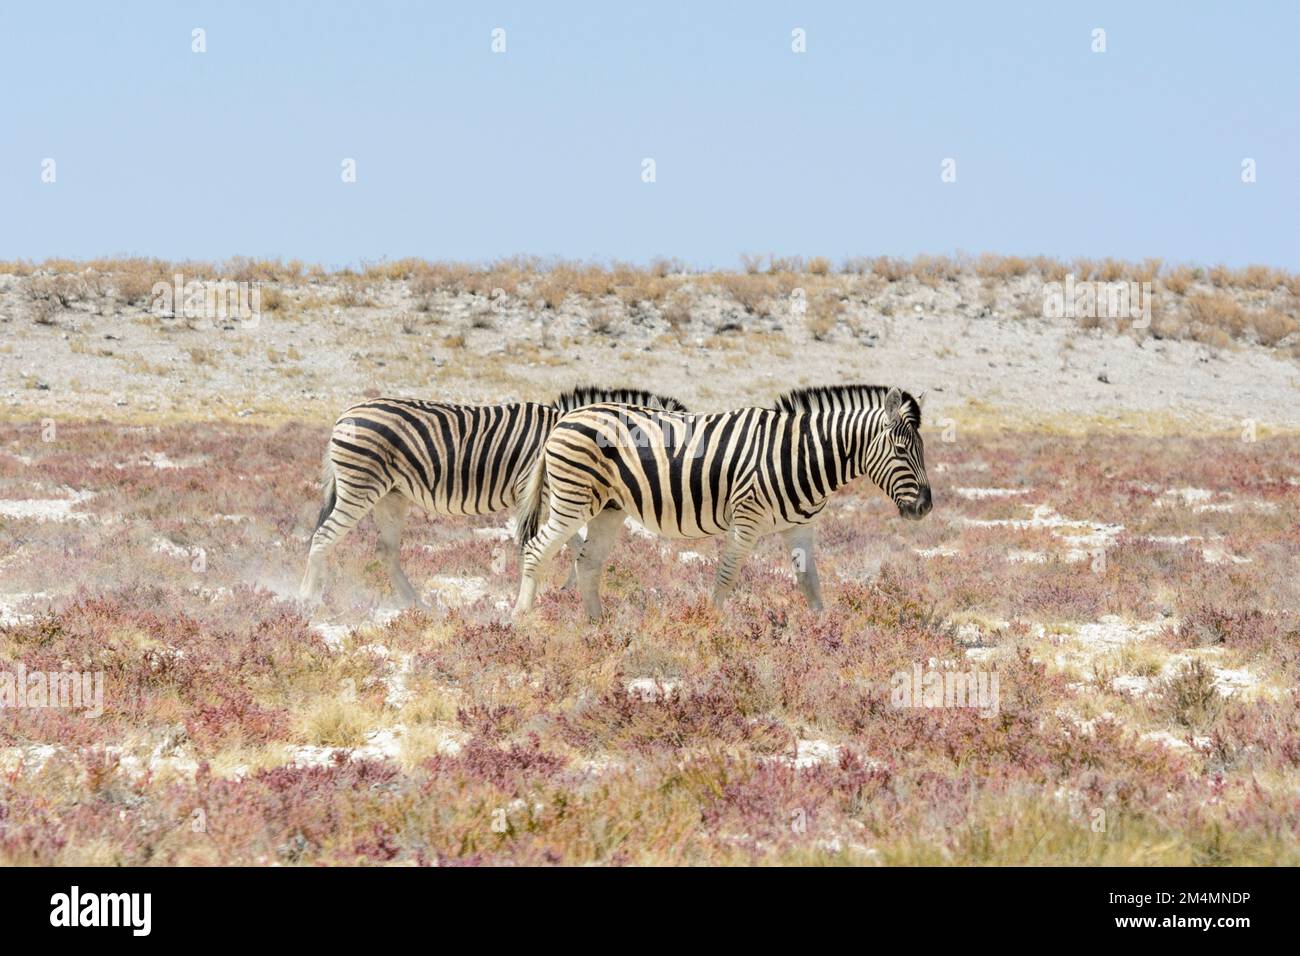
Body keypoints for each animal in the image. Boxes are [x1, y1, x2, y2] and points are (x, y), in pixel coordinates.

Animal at [299, 386, 689, 606]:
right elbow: (545, 544)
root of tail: (345, 414)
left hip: (390, 496)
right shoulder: (538, 494)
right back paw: (309, 599)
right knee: (323, 537)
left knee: (385, 550)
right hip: (360, 488)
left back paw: (415, 604)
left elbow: (573, 545)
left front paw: (567, 587)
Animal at [512, 384, 930, 620]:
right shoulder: (747, 518)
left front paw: (824, 633)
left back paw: (597, 627)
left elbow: (810, 581)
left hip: (608, 509)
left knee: (588, 563)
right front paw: (714, 625)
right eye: (900, 450)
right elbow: (727, 574)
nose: (925, 508)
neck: (799, 453)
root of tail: (566, 416)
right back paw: (521, 621)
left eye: (923, 450)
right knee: (536, 550)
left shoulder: (800, 527)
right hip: (573, 500)